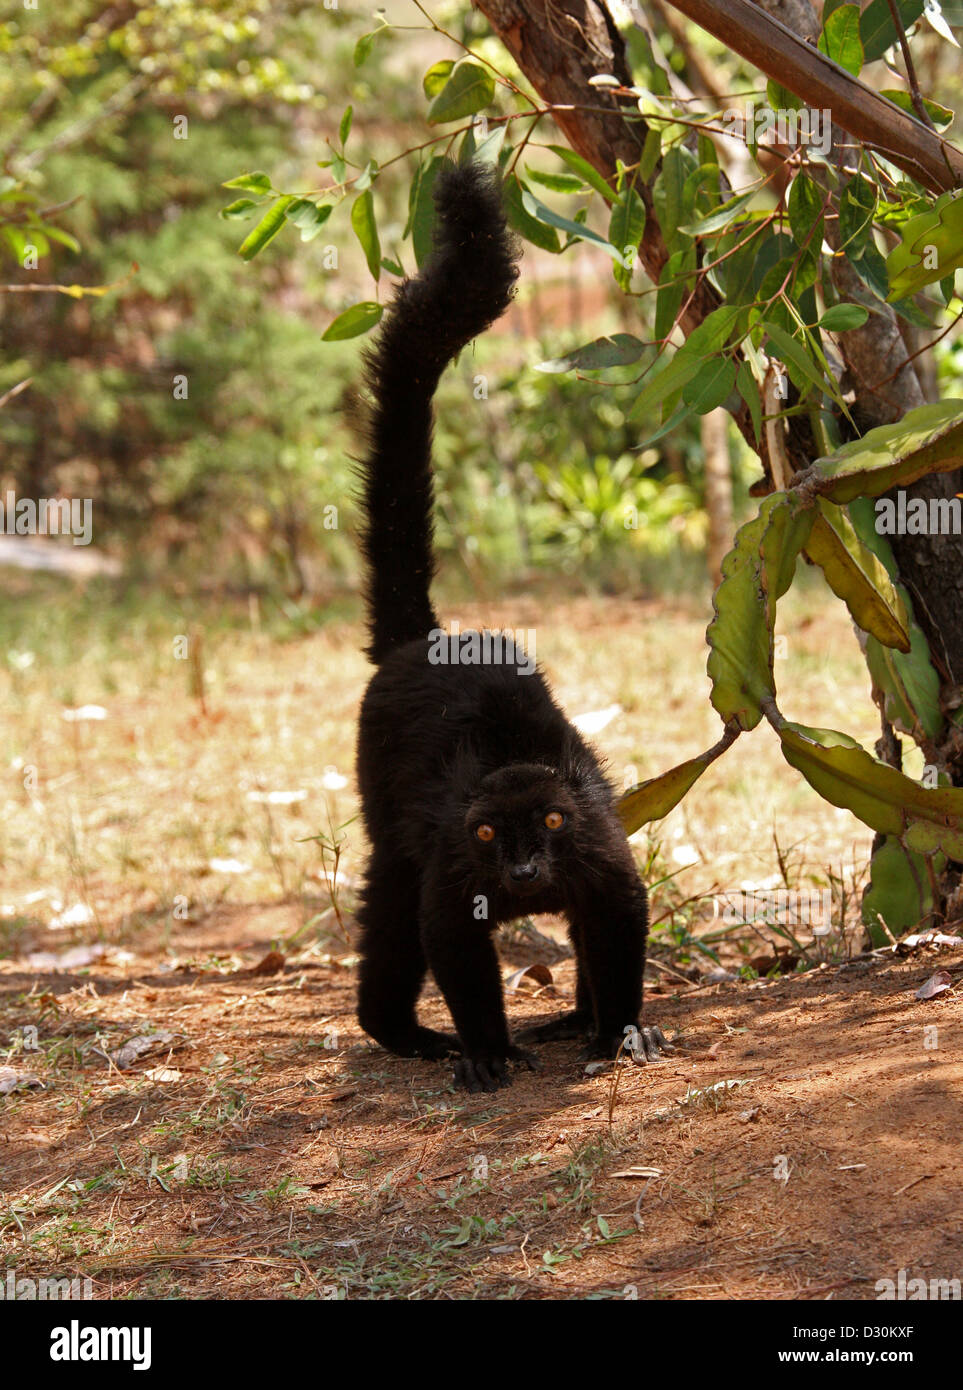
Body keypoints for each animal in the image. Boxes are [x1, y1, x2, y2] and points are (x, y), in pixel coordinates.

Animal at [353, 160, 667, 1092]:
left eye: (552, 826)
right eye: (493, 834)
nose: (526, 869)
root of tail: (425, 638)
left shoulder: (598, 848)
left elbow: (617, 921)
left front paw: (616, 1031)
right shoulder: (457, 863)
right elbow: (448, 937)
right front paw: (489, 1050)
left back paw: (576, 1017)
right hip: (386, 812)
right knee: (392, 897)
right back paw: (403, 1032)